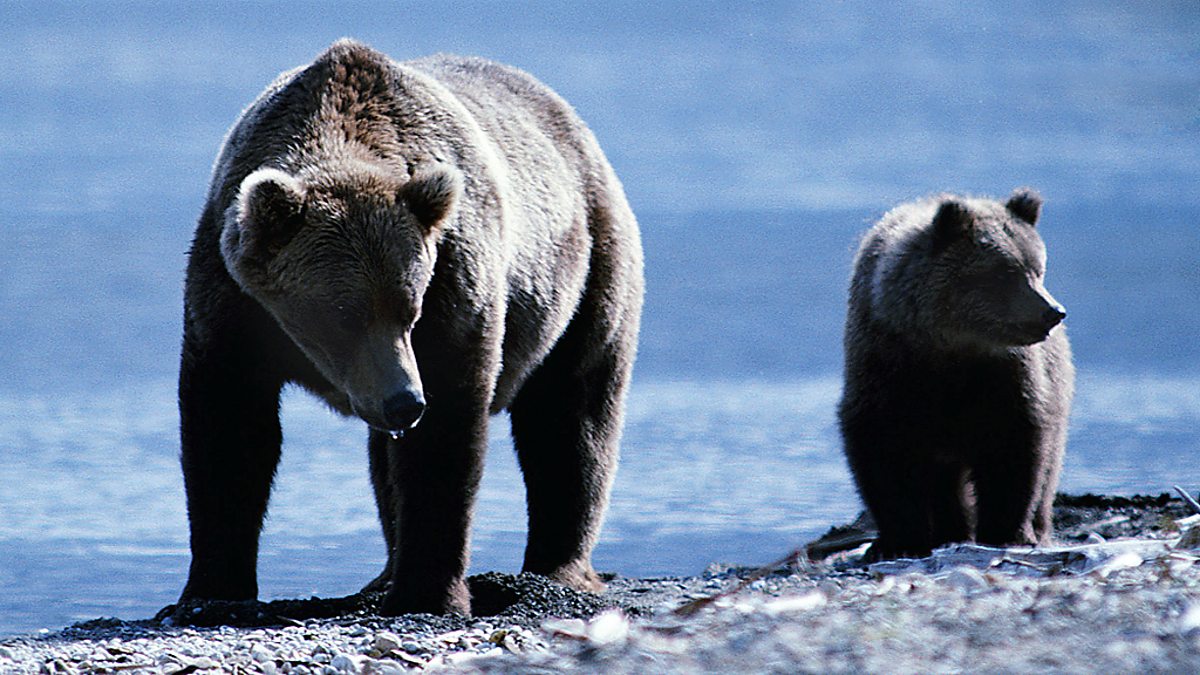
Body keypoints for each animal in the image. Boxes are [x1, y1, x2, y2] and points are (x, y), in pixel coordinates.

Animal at [174, 39, 643, 617]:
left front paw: (431, 592)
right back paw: (382, 575)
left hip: (590, 265)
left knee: (571, 416)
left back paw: (559, 569)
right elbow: (230, 433)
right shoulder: (231, 303)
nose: (405, 402)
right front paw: (209, 593)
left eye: (410, 307)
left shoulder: (454, 280)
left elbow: (445, 436)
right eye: (343, 313)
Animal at [838, 188, 1074, 561]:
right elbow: (883, 451)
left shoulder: (1005, 376)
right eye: (1003, 272)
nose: (1052, 311)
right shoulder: (888, 367)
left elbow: (1015, 446)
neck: (951, 347)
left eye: (1037, 268)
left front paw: (1008, 532)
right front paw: (899, 539)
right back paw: (949, 530)